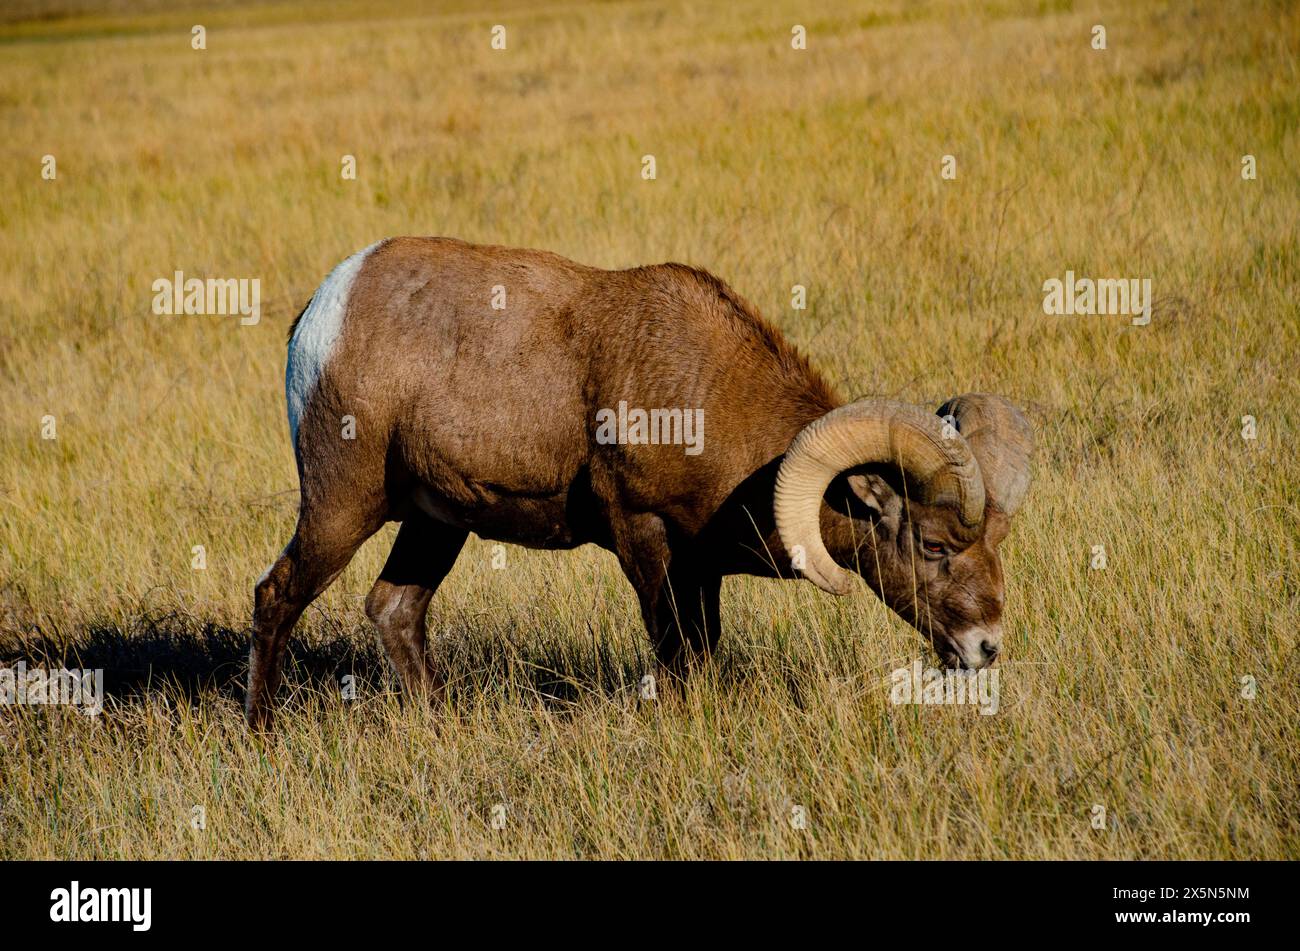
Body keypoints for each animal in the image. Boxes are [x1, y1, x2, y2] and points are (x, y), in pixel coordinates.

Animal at [247, 237, 1033, 729]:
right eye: (933, 546)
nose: (986, 648)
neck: (708, 395)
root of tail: (320, 316)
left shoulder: (699, 565)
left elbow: (704, 649)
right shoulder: (643, 536)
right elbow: (675, 651)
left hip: (434, 523)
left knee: (395, 609)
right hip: (344, 507)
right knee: (277, 594)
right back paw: (262, 732)